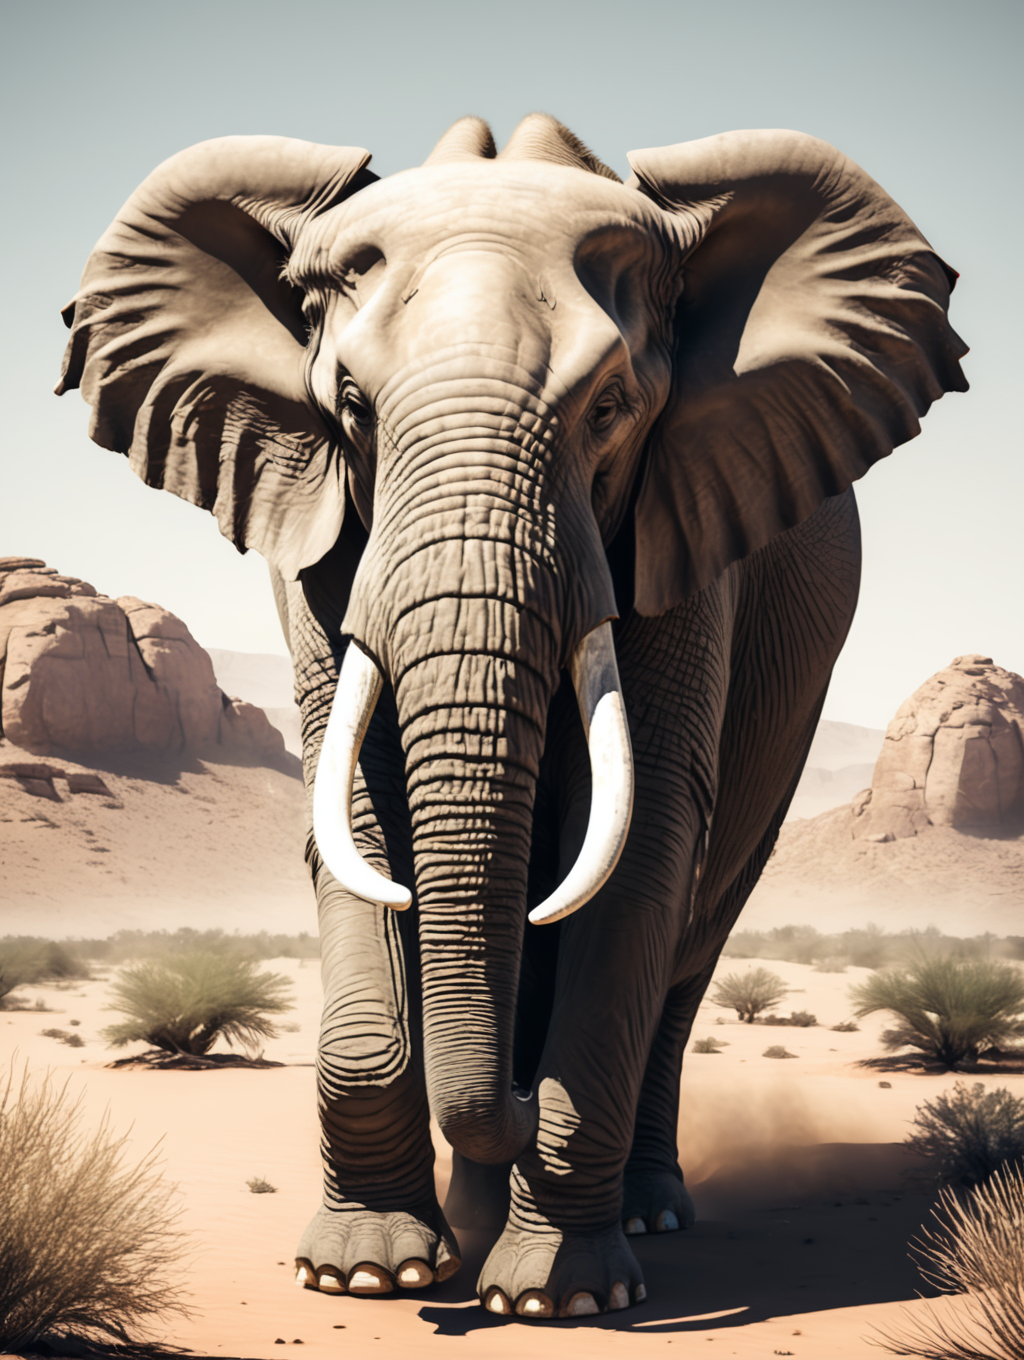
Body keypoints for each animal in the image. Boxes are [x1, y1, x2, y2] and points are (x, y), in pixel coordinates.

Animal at [58, 113, 966, 1319]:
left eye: (610, 411)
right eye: (351, 411)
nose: (519, 1096)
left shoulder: (688, 526)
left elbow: (644, 833)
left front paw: (555, 1297)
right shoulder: (315, 525)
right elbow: (356, 822)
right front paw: (364, 1273)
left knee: (692, 945)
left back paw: (639, 1211)